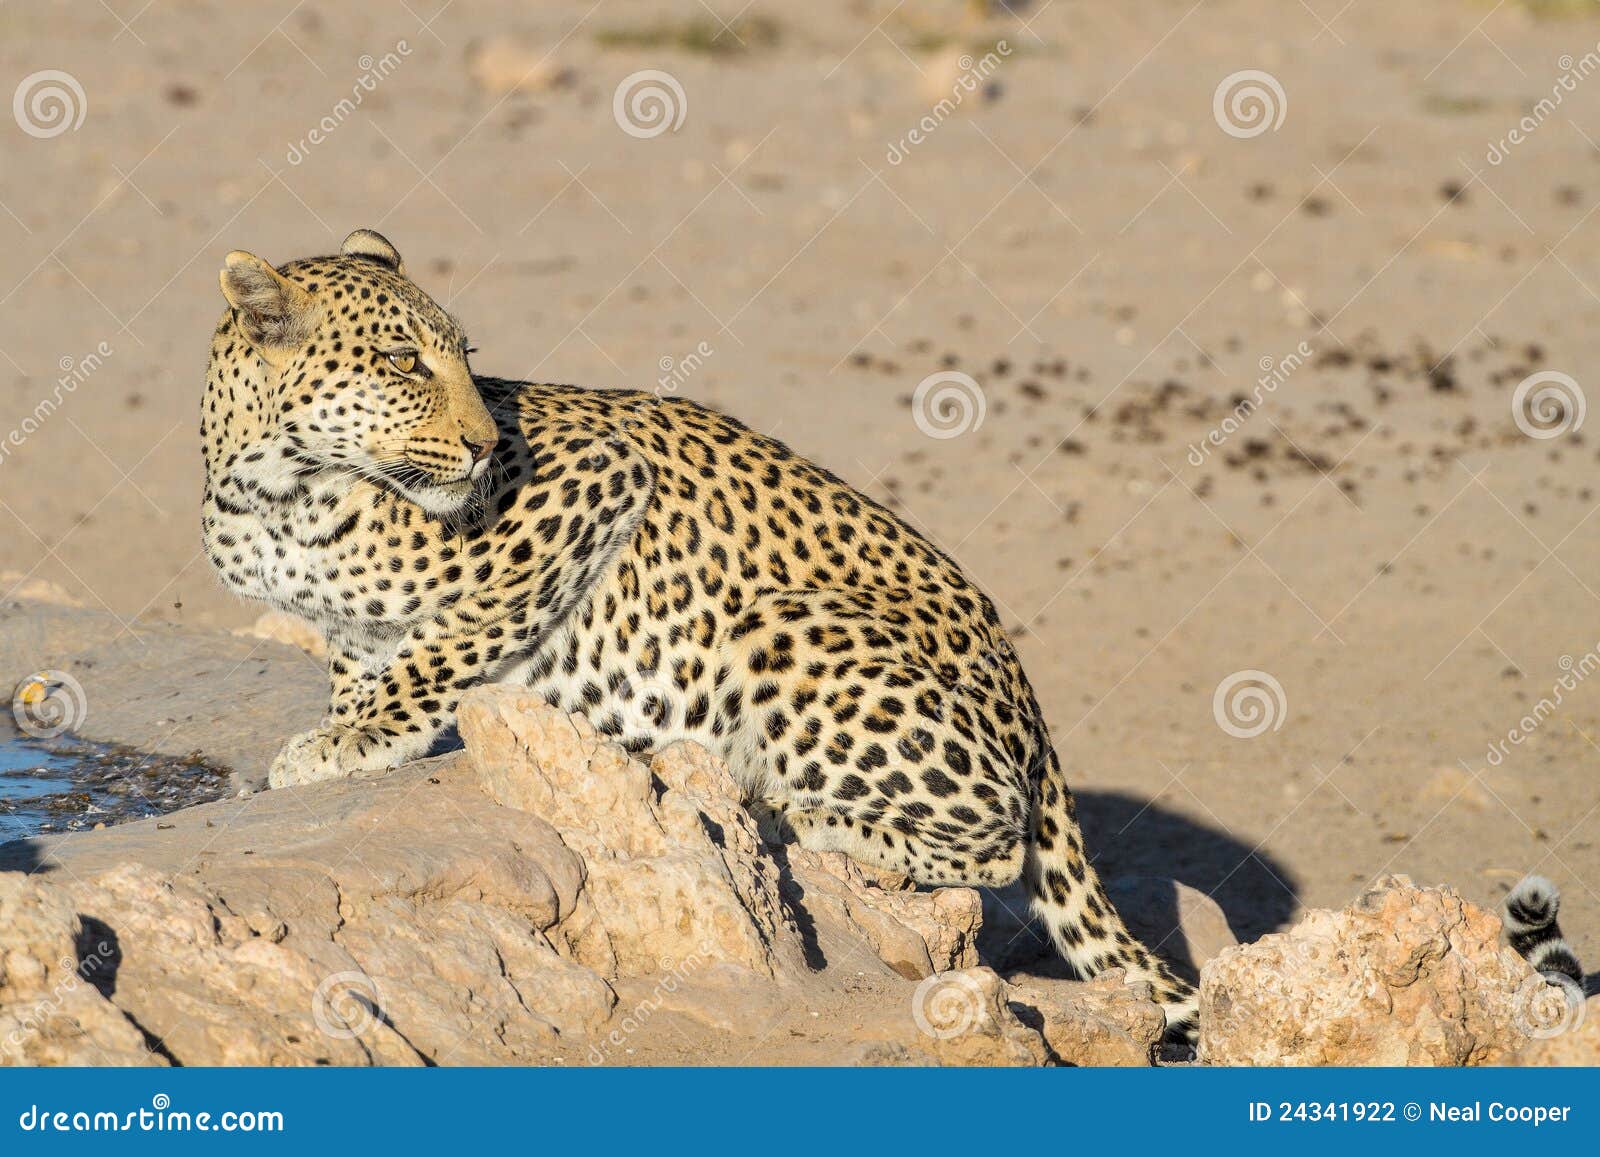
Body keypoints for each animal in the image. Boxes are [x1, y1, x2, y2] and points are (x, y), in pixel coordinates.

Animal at [200, 228, 1200, 1039]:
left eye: (464, 356)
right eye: (405, 362)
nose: (485, 445)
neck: (275, 488)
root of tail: (1027, 696)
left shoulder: (593, 480)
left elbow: (446, 646)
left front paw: (350, 741)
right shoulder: (348, 624)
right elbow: (370, 661)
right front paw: (343, 726)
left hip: (785, 629)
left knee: (995, 834)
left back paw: (793, 812)